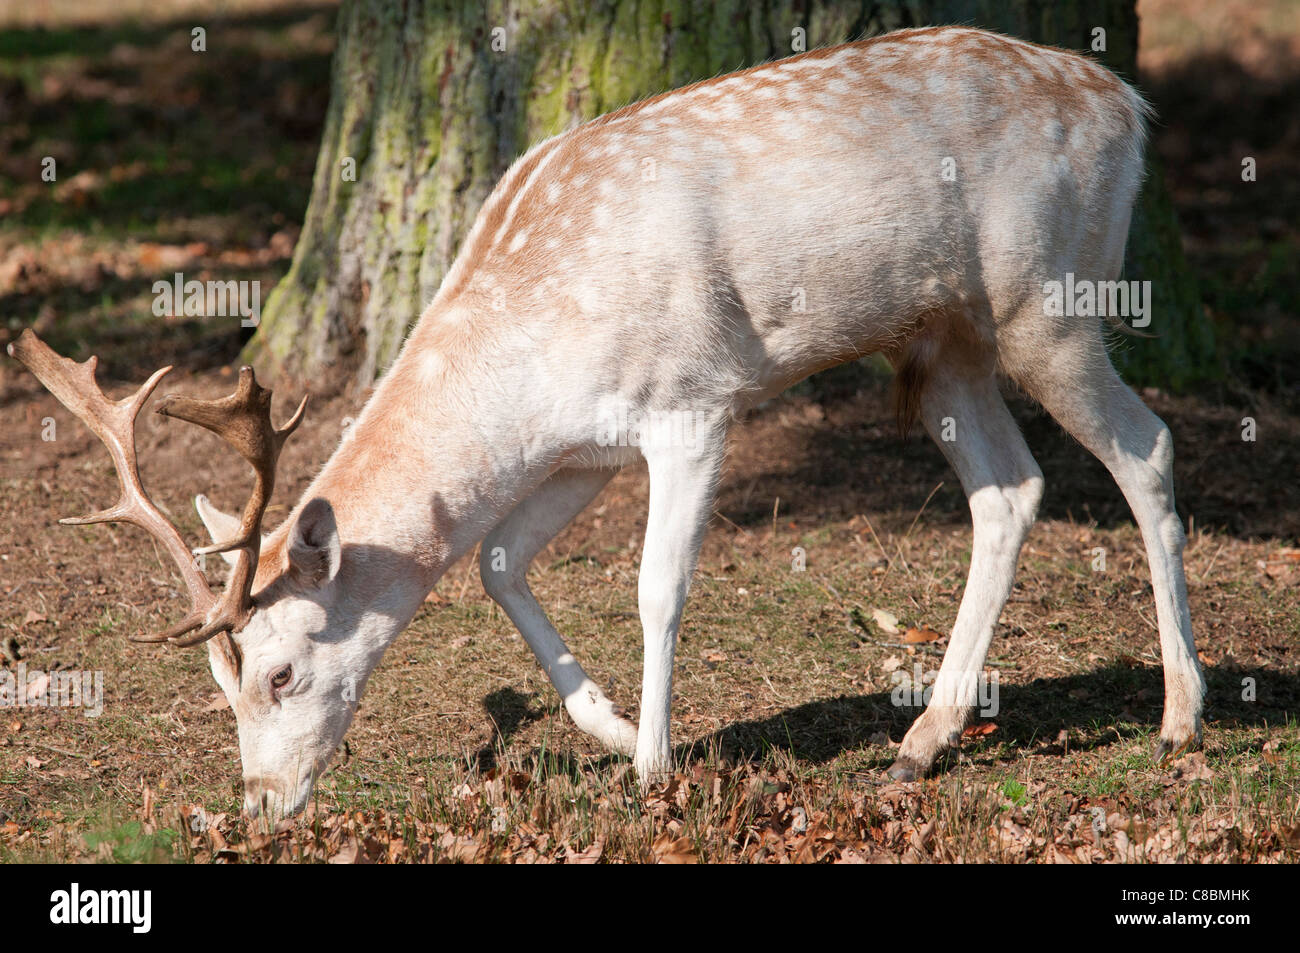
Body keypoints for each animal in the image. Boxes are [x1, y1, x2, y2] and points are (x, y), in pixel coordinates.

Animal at [9, 25, 1204, 819]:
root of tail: (1130, 105)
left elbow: (657, 582)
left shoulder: (694, 403)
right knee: (1011, 487)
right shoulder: (580, 447)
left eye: (281, 673)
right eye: (221, 679)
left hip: (1050, 298)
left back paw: (1181, 715)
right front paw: (619, 727)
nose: (257, 801)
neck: (535, 354)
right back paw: (919, 742)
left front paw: (656, 764)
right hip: (942, 338)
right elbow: (495, 557)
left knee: (1146, 447)